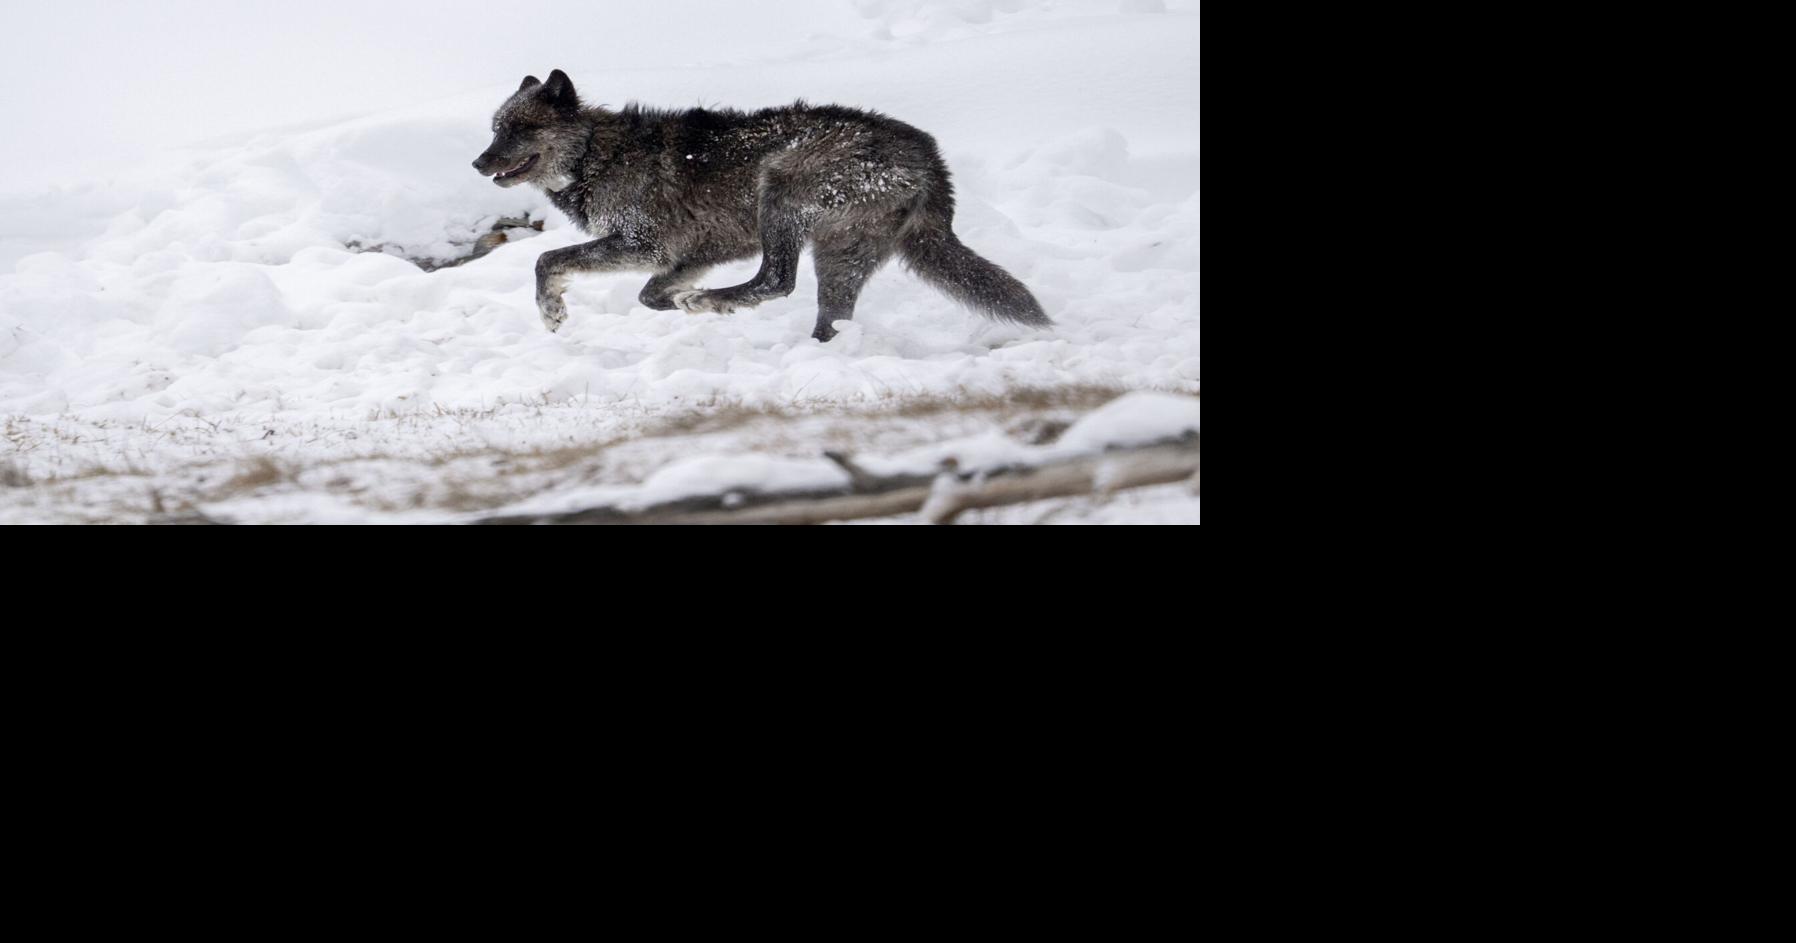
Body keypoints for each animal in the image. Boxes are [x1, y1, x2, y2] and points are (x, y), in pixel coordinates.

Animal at [472, 70, 1050, 342]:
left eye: (521, 129)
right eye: (496, 128)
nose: (479, 162)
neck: (595, 152)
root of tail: (928, 154)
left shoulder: (643, 244)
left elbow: (546, 259)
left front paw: (552, 310)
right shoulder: (694, 253)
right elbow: (650, 296)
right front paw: (697, 304)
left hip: (780, 190)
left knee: (779, 279)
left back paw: (712, 301)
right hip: (840, 257)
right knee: (828, 316)